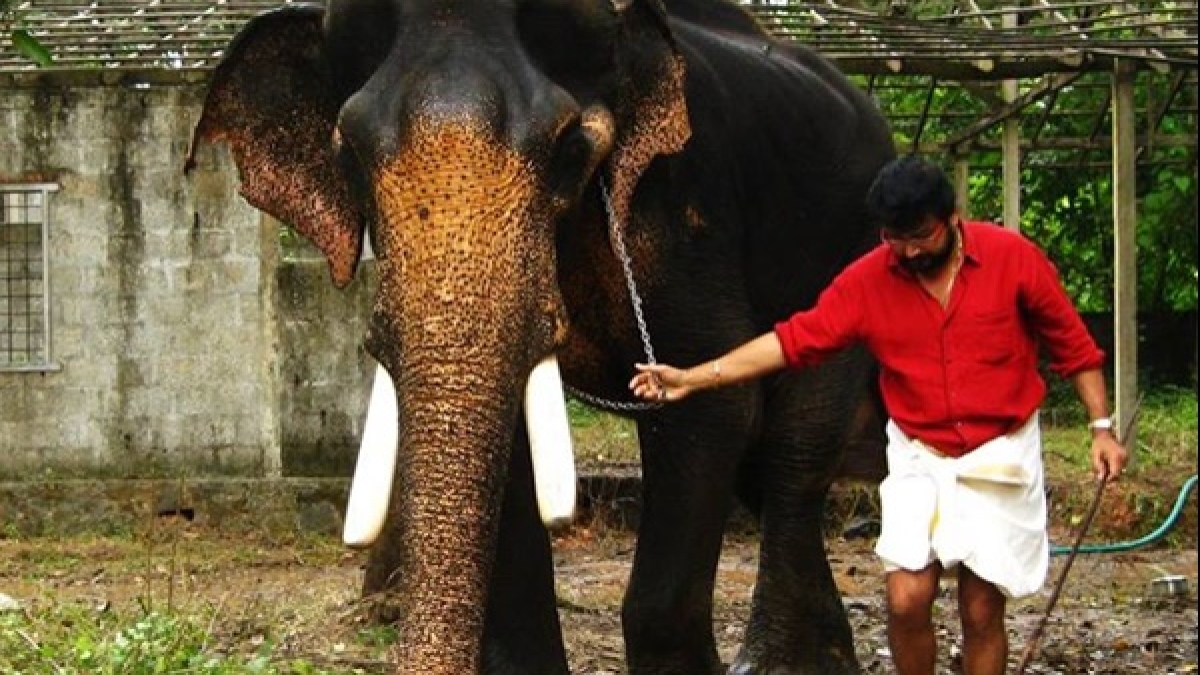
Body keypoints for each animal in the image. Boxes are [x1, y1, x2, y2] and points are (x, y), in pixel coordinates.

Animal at [186, 0, 895, 672]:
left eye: (570, 148)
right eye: (349, 157)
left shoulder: (687, 213)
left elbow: (709, 404)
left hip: (852, 255)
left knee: (793, 449)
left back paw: (782, 664)